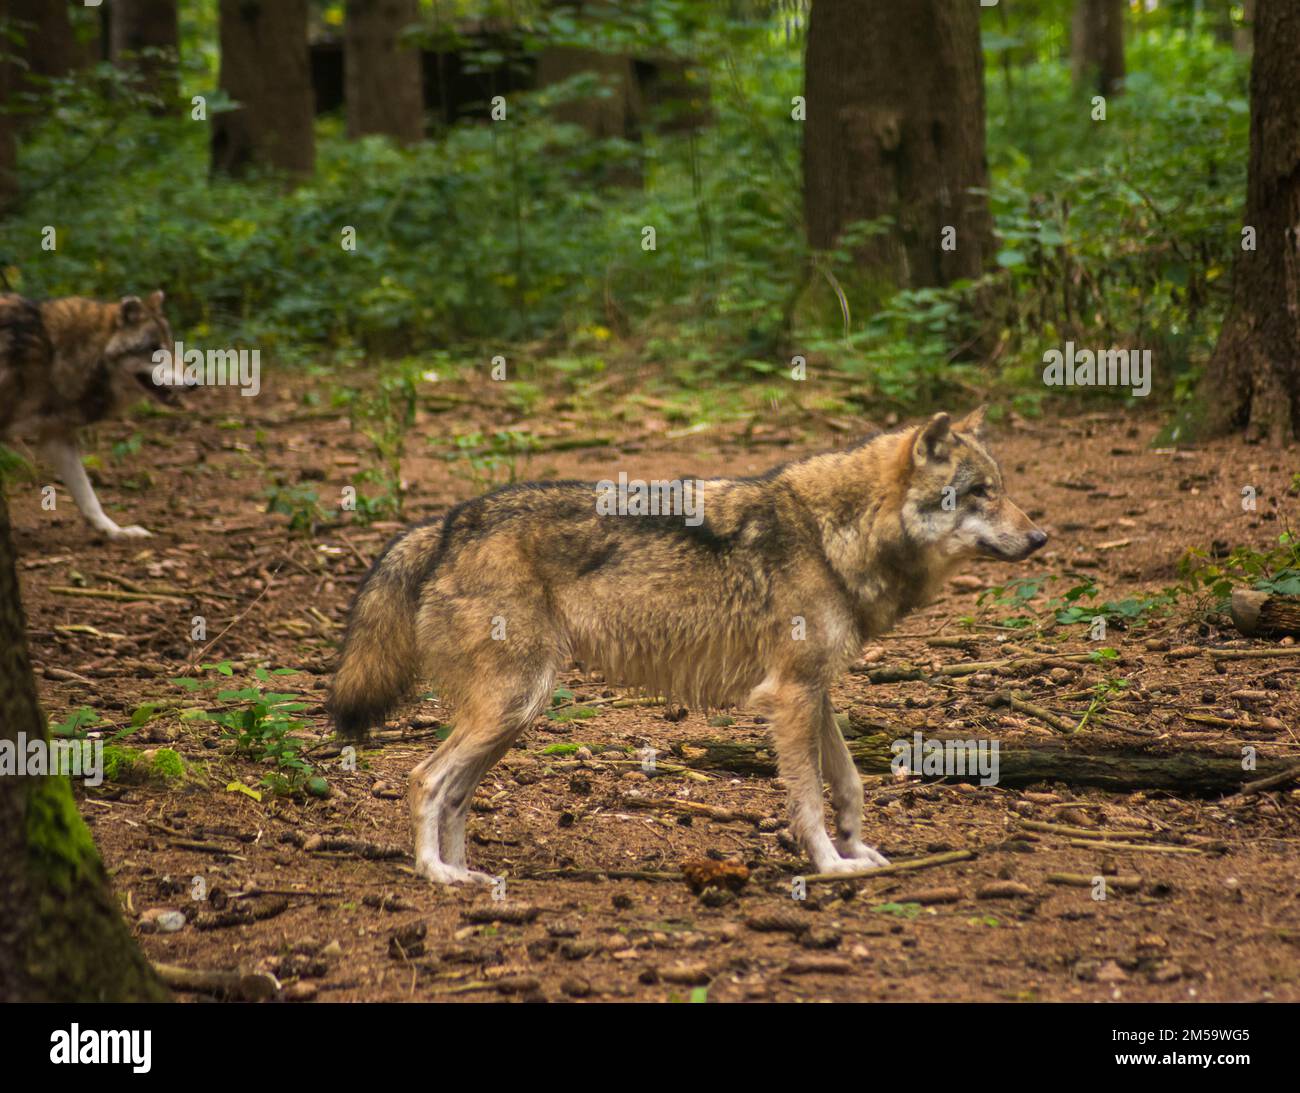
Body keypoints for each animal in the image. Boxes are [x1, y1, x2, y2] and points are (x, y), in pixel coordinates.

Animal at [0, 291, 186, 540]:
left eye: (170, 346)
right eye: (155, 349)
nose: (195, 383)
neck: (56, 353)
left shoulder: (57, 438)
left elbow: (88, 498)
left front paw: (117, 531)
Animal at [330, 408, 1047, 884]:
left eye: (1003, 488)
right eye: (980, 493)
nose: (1041, 538)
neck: (832, 535)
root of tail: (448, 521)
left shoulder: (813, 691)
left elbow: (848, 784)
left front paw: (858, 851)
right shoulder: (788, 693)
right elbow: (809, 799)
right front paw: (827, 865)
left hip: (515, 715)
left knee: (454, 793)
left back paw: (470, 876)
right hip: (513, 705)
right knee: (424, 779)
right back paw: (436, 876)